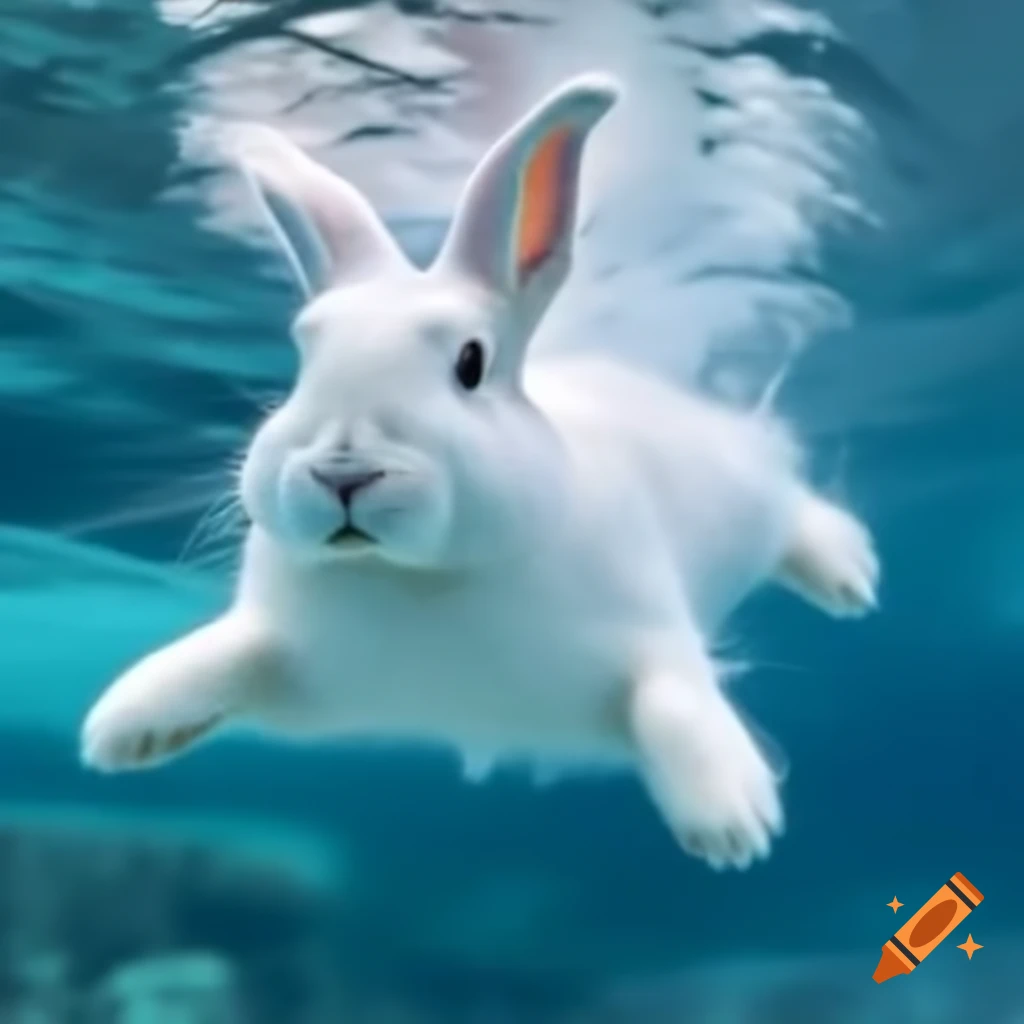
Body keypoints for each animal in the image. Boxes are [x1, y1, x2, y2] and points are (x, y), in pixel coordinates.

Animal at [80, 72, 879, 871]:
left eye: (470, 363)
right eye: (304, 359)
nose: (344, 474)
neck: (418, 580)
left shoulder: (655, 636)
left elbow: (677, 703)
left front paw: (733, 826)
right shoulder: (272, 640)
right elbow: (207, 657)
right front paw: (117, 729)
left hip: (747, 490)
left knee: (794, 511)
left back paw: (850, 579)